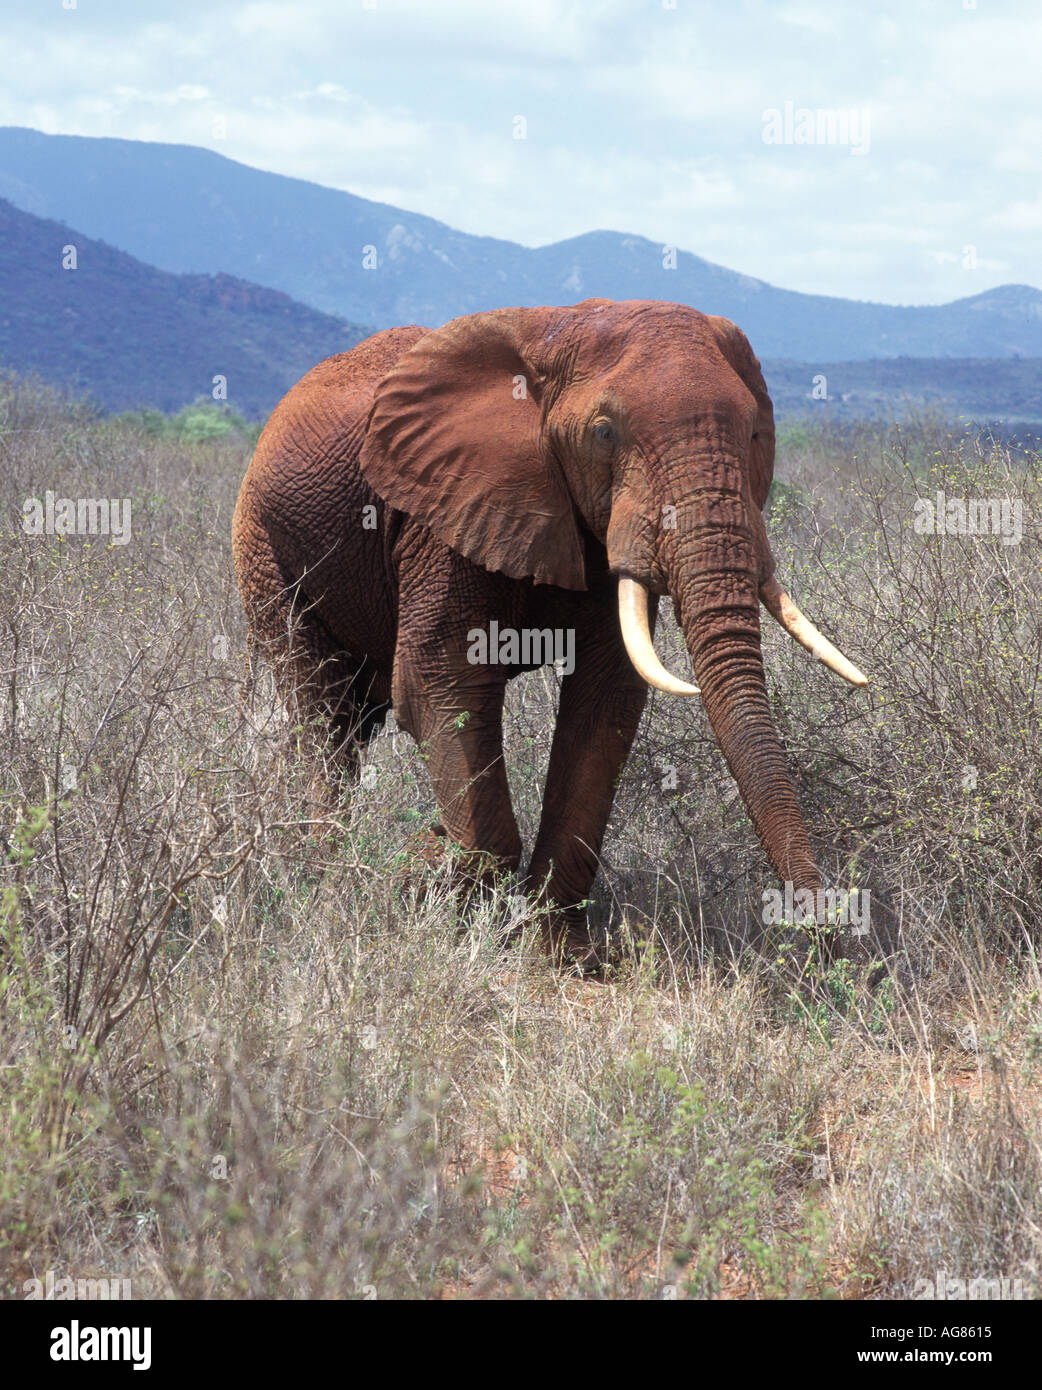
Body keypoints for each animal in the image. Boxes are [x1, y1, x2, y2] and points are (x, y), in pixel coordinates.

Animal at [231, 299, 867, 965]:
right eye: (604, 433)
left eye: (754, 435)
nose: (825, 941)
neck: (564, 329)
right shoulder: (443, 514)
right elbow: (441, 682)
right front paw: (436, 882)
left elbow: (605, 698)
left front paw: (562, 951)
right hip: (264, 548)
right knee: (321, 712)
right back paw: (325, 881)